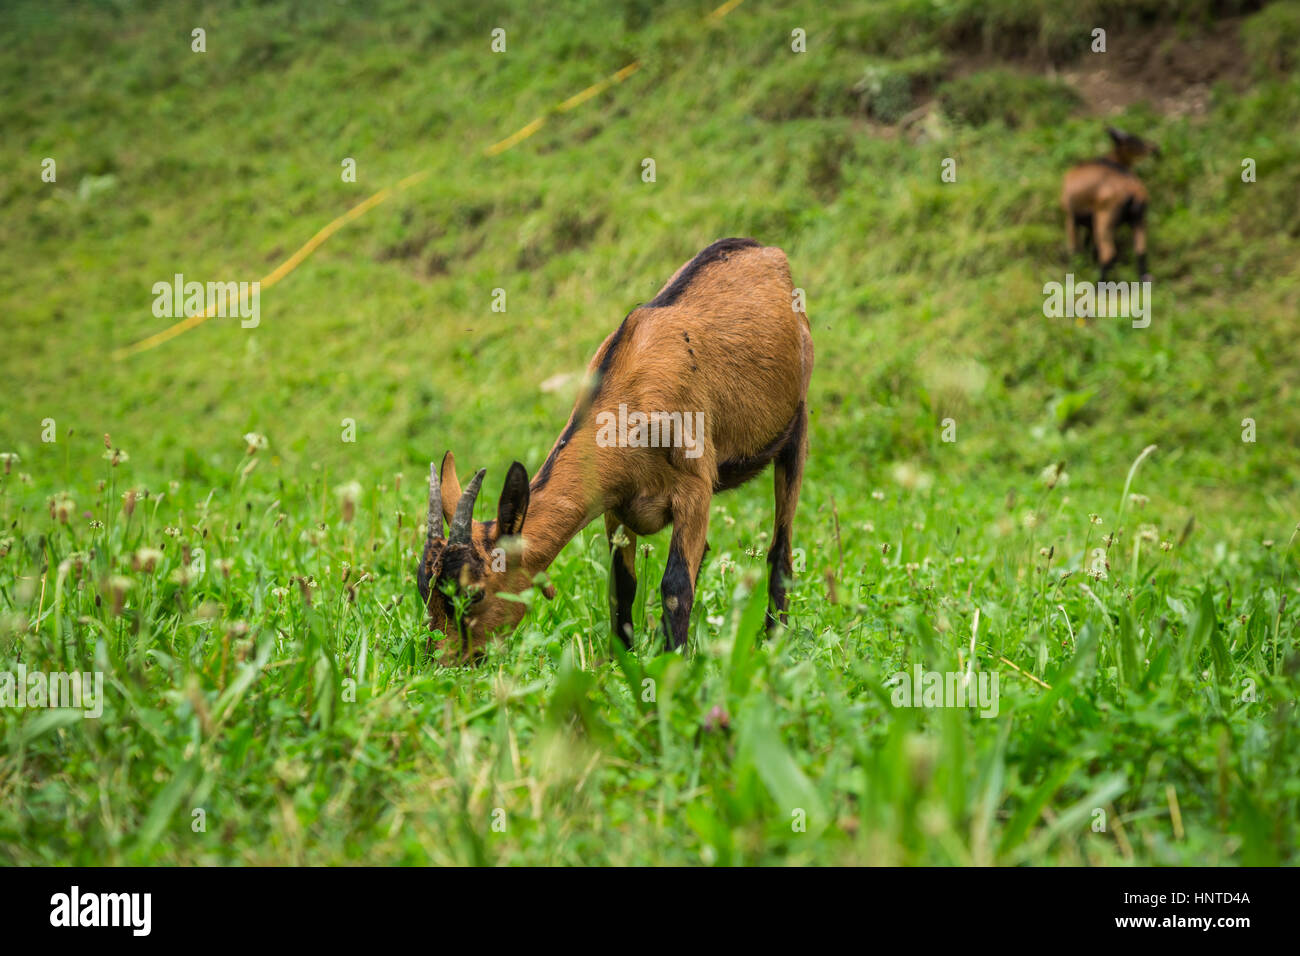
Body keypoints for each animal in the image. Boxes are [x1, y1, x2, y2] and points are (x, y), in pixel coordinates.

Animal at [418, 237, 814, 663]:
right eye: (424, 589)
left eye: (472, 595)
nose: (442, 662)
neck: (630, 405)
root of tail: (762, 249)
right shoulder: (615, 502)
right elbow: (622, 584)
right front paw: (621, 659)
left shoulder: (695, 488)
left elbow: (676, 586)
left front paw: (673, 664)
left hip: (796, 429)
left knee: (780, 549)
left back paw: (774, 640)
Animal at [1061, 127, 1159, 281]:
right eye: (1134, 139)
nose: (1155, 148)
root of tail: (1135, 191)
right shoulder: (1086, 221)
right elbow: (1089, 245)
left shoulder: (1070, 216)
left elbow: (1075, 249)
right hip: (1138, 219)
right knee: (1140, 250)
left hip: (1105, 217)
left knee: (1109, 254)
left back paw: (1098, 283)